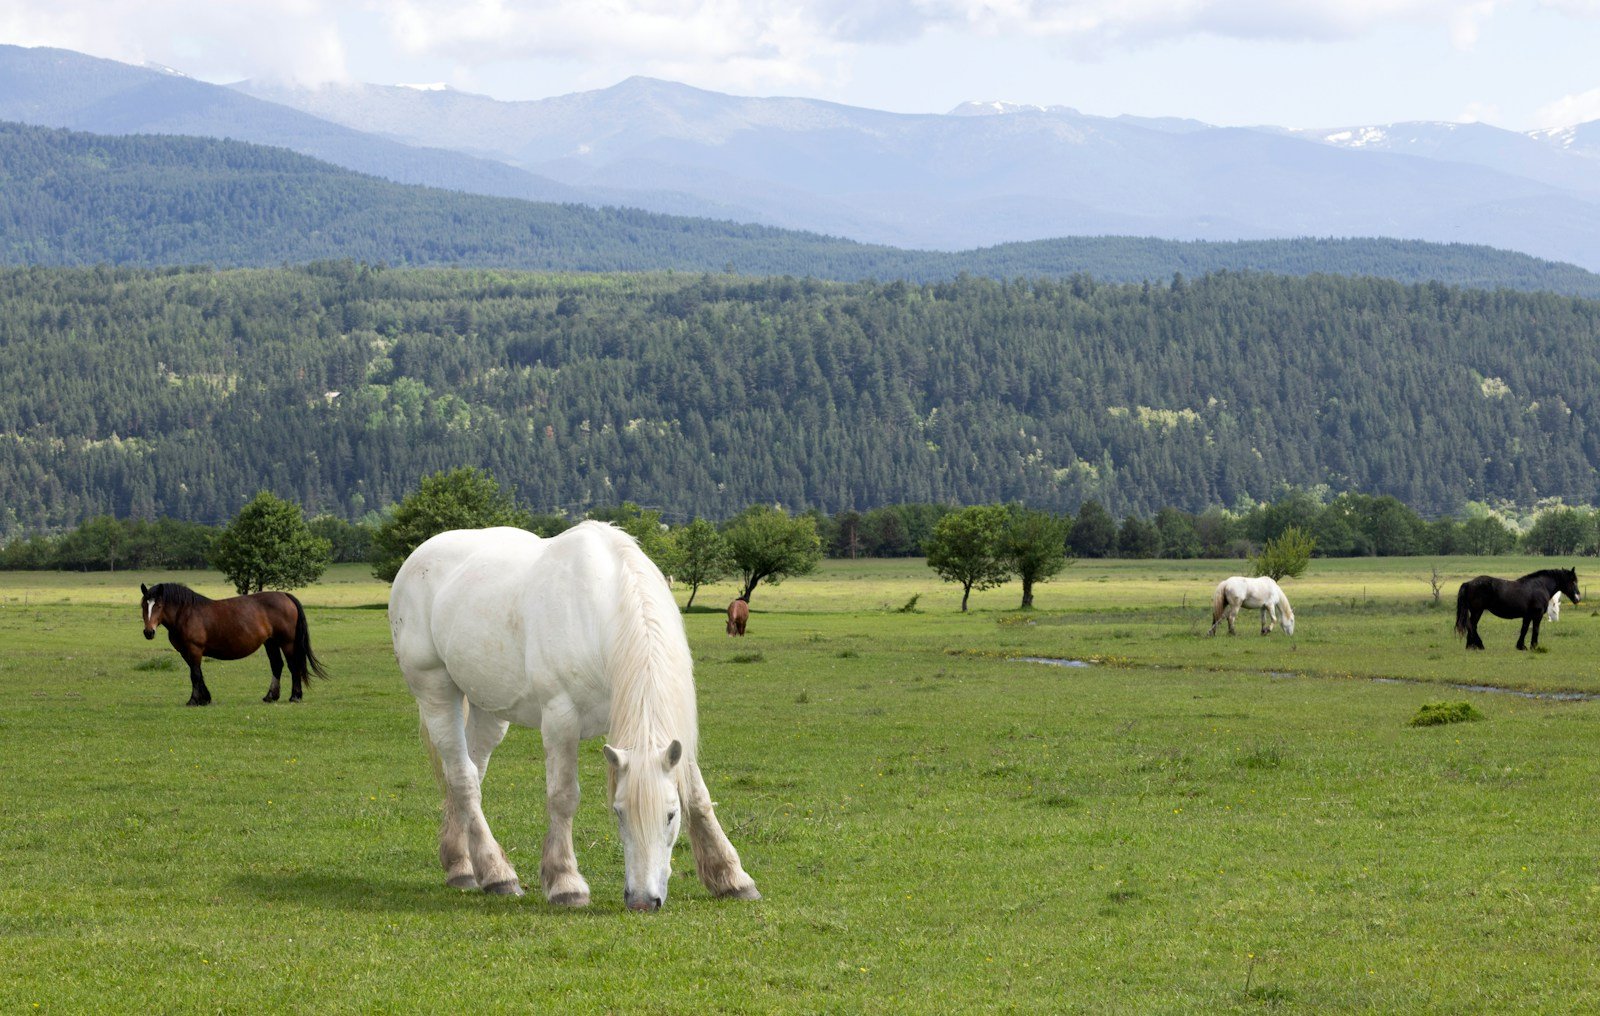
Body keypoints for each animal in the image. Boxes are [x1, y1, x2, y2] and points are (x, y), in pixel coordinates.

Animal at [140, 582, 328, 705]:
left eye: (159, 605)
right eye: (144, 605)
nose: (149, 632)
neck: (186, 613)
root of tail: (285, 596)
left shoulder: (194, 649)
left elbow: (195, 675)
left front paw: (194, 700)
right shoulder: (186, 652)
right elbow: (198, 673)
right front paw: (205, 698)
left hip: (287, 642)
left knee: (293, 665)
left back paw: (295, 696)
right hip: (271, 642)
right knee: (277, 665)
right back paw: (270, 696)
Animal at [388, 522, 760, 911]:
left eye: (671, 814)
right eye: (618, 812)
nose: (643, 901)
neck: (601, 611)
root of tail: (419, 556)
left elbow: (699, 797)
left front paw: (731, 876)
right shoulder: (559, 718)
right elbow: (563, 796)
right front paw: (565, 882)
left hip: (487, 708)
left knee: (470, 772)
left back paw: (461, 864)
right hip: (435, 692)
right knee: (463, 777)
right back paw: (496, 873)